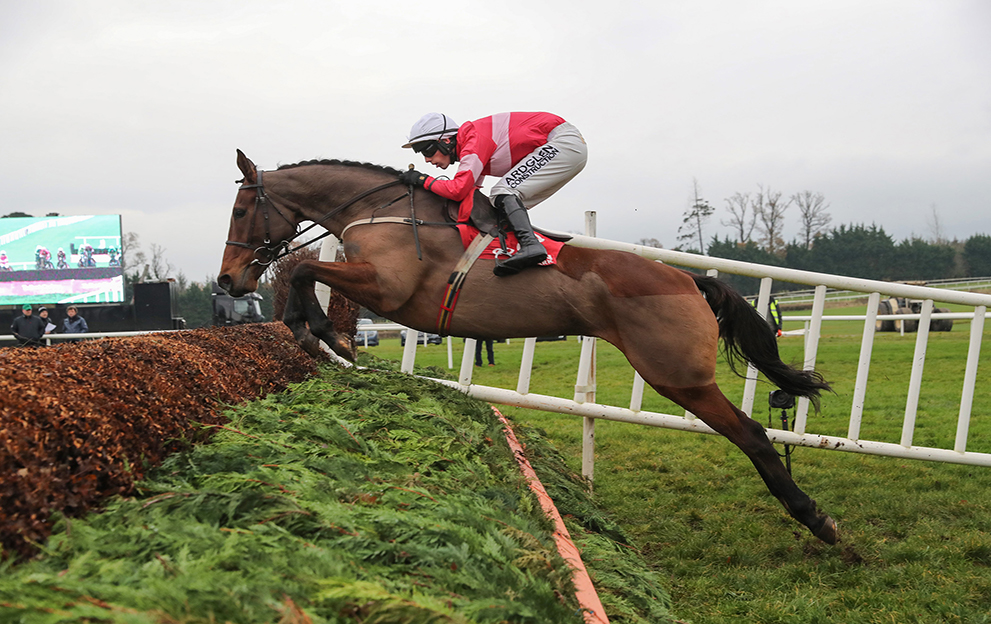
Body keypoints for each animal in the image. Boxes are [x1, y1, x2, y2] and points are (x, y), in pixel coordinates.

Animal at [219, 150, 837, 544]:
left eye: (242, 211)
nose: (228, 280)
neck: (384, 211)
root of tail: (688, 279)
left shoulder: (391, 290)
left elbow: (303, 271)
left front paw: (320, 333)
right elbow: (304, 273)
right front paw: (316, 332)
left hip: (678, 375)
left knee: (752, 434)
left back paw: (817, 520)